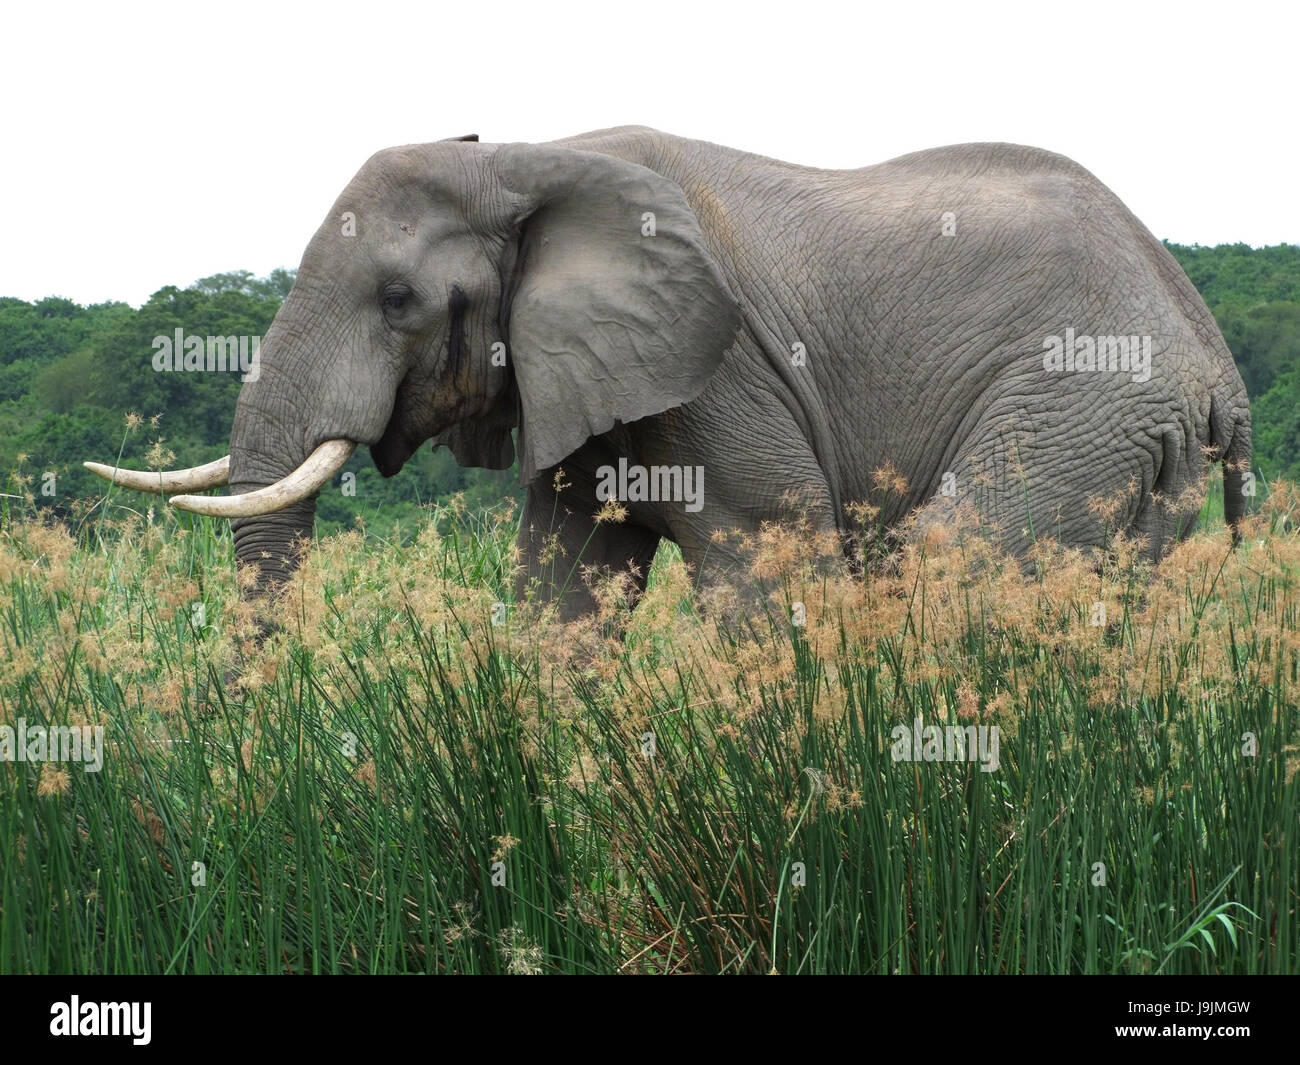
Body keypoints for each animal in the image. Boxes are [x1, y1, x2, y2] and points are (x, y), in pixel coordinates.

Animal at [88, 126, 1252, 619]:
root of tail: (1213, 357)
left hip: (1080, 399)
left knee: (956, 558)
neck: (527, 155)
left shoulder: (721, 372)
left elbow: (768, 564)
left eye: (397, 300)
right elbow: (563, 587)